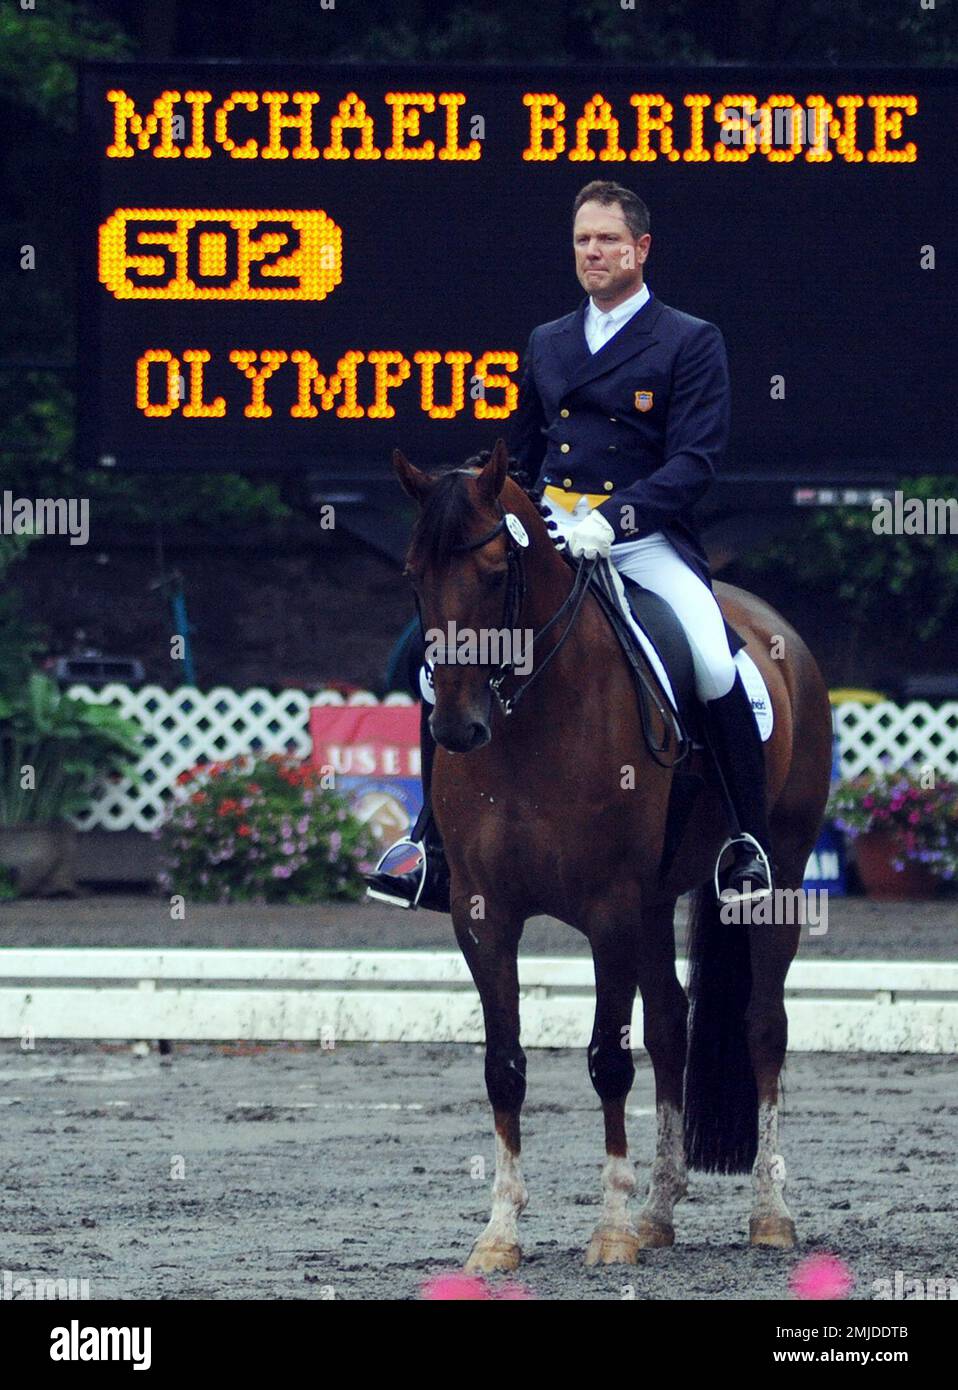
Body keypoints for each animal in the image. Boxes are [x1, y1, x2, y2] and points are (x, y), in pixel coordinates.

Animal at [396, 437, 833, 1270]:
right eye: (414, 574)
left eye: (496, 570)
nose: (458, 730)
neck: (531, 718)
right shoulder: (482, 913)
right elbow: (505, 1066)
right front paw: (499, 1236)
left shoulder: (610, 910)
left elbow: (607, 1060)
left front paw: (609, 1230)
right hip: (659, 898)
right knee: (671, 1029)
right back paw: (659, 1213)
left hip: (779, 876)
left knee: (764, 1025)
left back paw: (768, 1213)